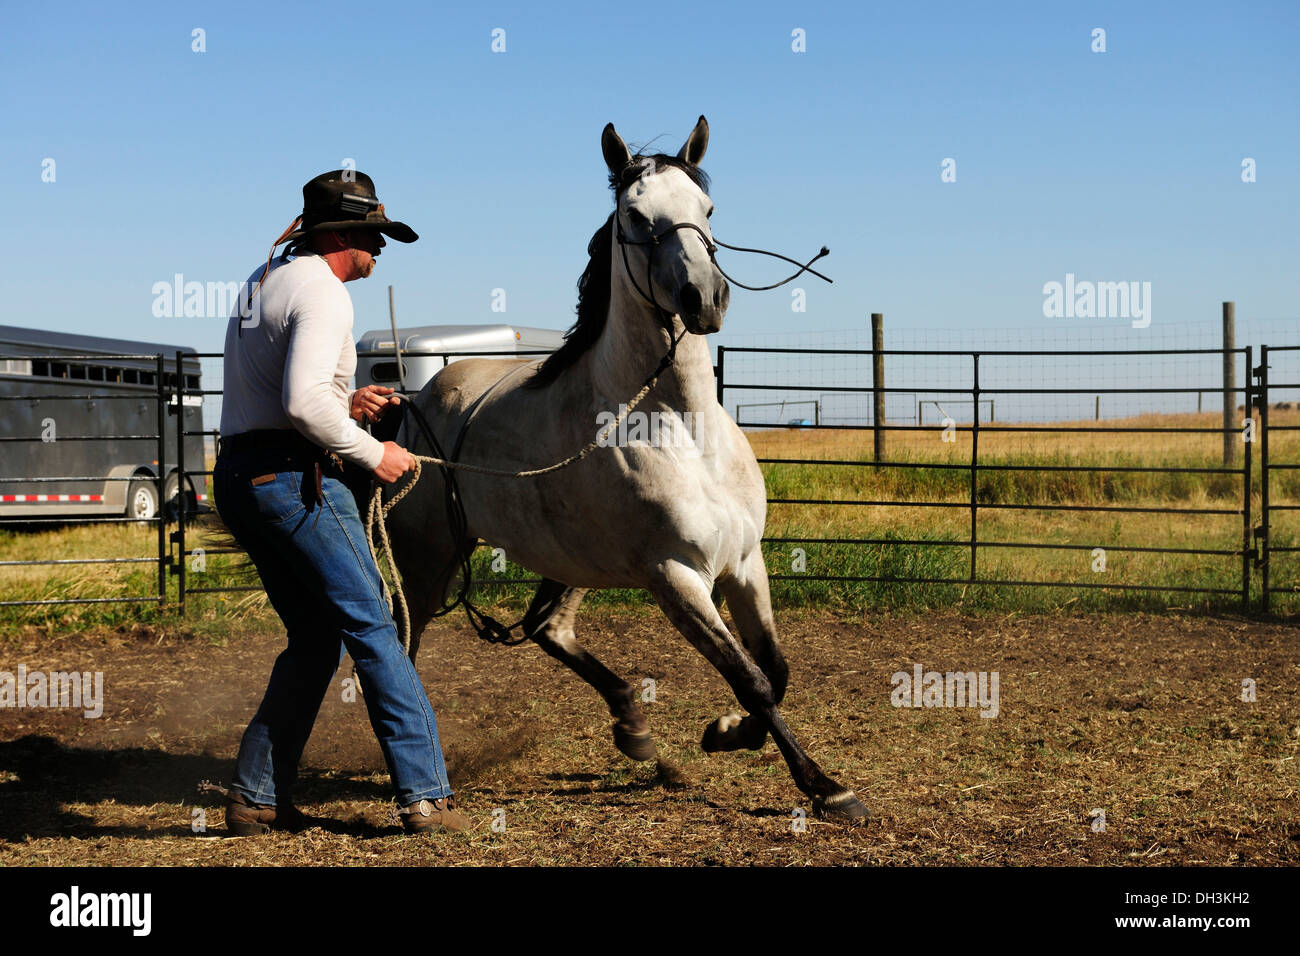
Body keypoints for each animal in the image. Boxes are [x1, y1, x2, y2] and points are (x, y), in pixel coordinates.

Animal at [382, 116, 867, 822]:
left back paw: (634, 729)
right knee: (406, 645)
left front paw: (724, 734)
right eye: (636, 217)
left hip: (569, 559)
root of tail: (417, 403)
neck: (684, 430)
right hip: (429, 558)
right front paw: (823, 784)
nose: (705, 297)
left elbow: (775, 671)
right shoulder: (675, 577)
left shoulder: (745, 563)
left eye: (708, 209)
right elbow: (749, 678)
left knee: (550, 628)